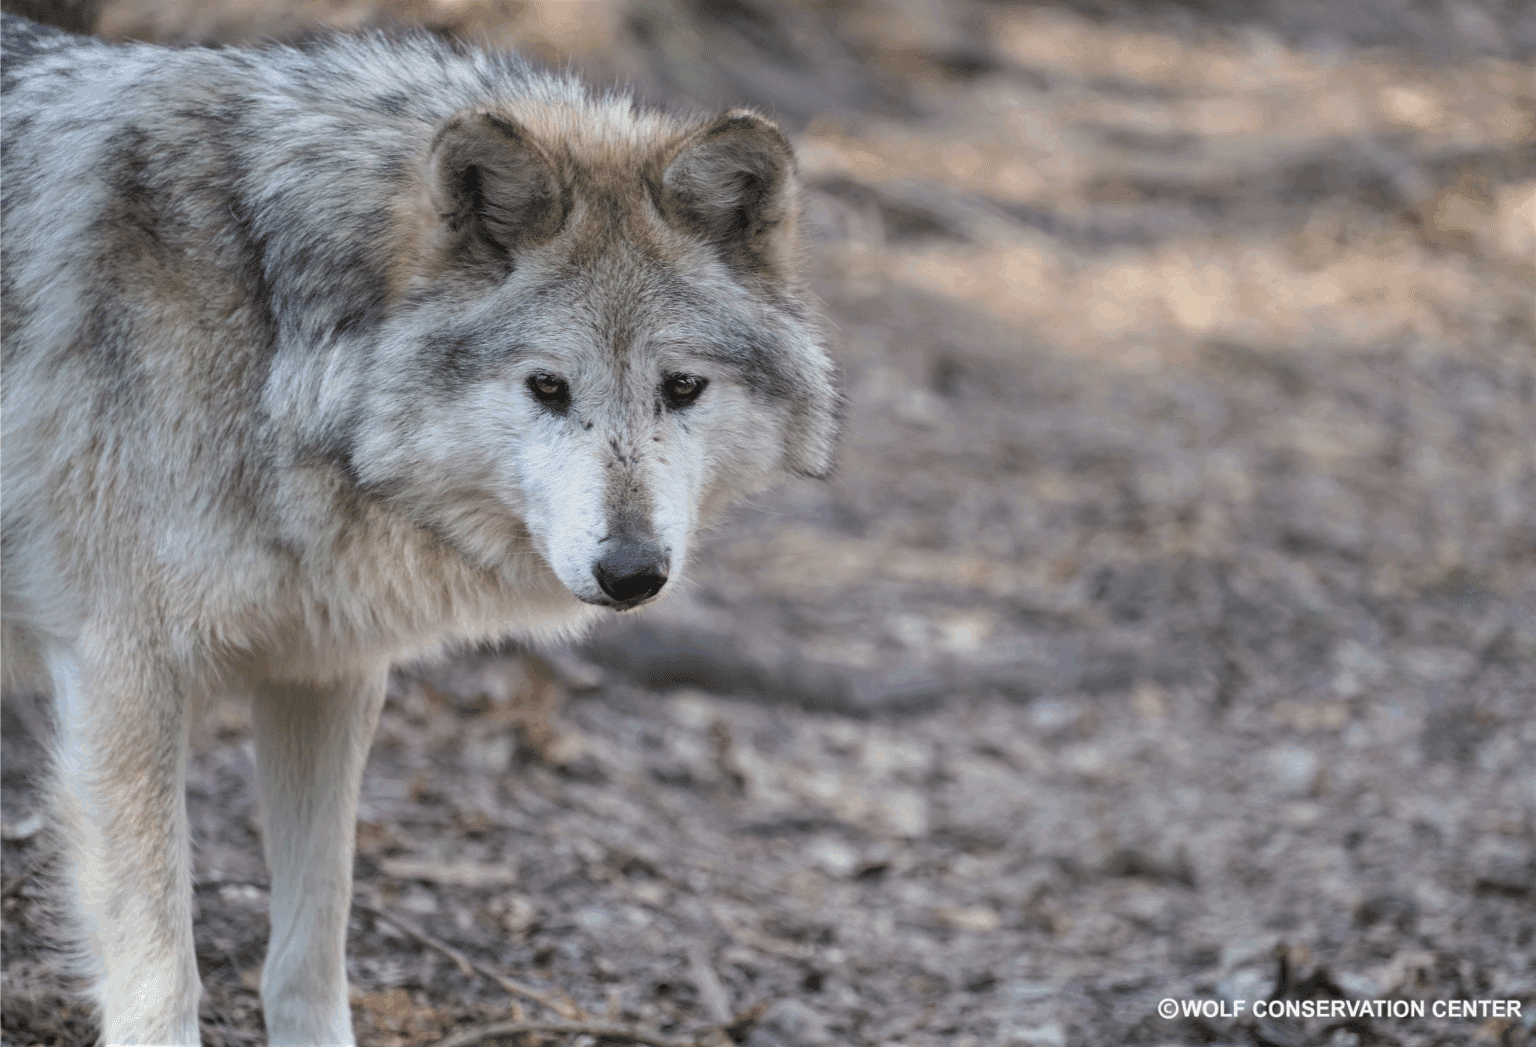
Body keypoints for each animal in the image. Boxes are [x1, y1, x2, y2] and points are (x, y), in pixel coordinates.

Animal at [0, 13, 839, 1045]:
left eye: (681, 387)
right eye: (547, 386)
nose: (633, 570)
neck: (274, 333)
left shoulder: (324, 673)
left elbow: (312, 944)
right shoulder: (123, 673)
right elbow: (163, 973)